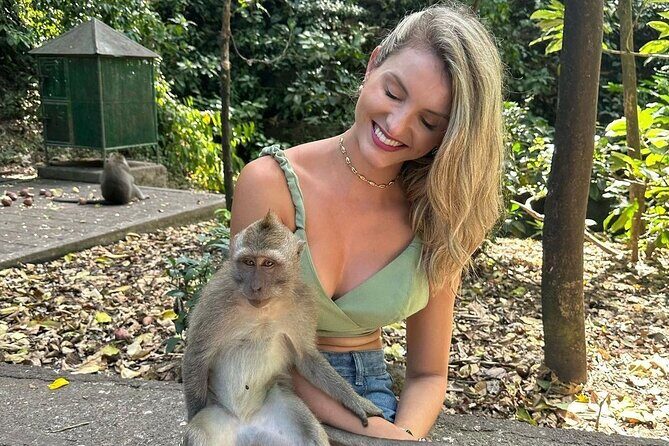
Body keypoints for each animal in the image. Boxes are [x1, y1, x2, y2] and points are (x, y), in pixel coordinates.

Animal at [182, 211, 383, 446]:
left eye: (268, 263)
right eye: (249, 262)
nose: (256, 287)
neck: (264, 308)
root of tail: (246, 426)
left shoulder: (303, 303)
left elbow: (306, 357)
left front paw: (356, 401)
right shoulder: (215, 299)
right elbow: (197, 354)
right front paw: (193, 410)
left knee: (311, 434)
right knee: (198, 434)